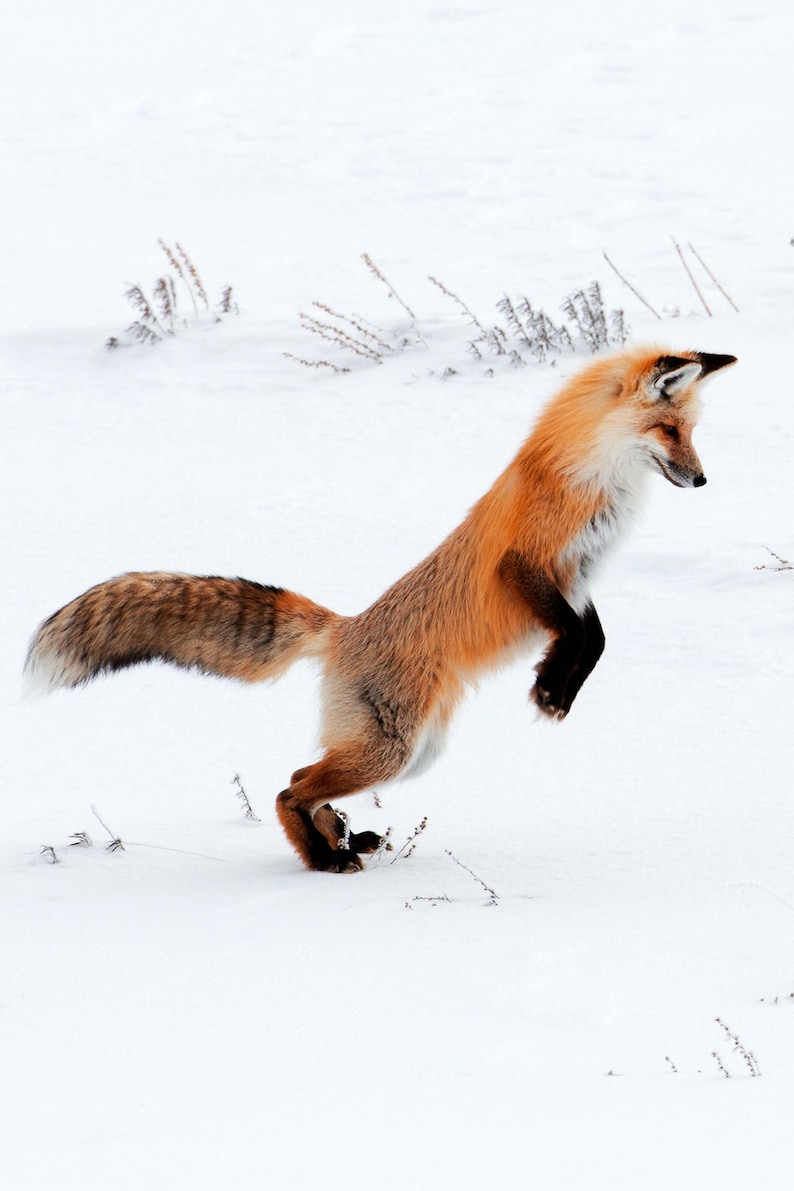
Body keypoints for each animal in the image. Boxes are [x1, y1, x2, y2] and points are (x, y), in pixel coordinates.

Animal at [25, 346, 736, 872]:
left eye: (692, 432)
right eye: (670, 430)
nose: (704, 480)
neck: (594, 478)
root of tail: (344, 629)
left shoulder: (579, 580)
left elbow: (595, 638)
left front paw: (555, 686)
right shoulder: (527, 564)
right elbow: (582, 638)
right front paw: (550, 691)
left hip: (412, 750)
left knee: (299, 773)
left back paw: (341, 837)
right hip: (392, 750)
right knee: (287, 787)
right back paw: (325, 857)